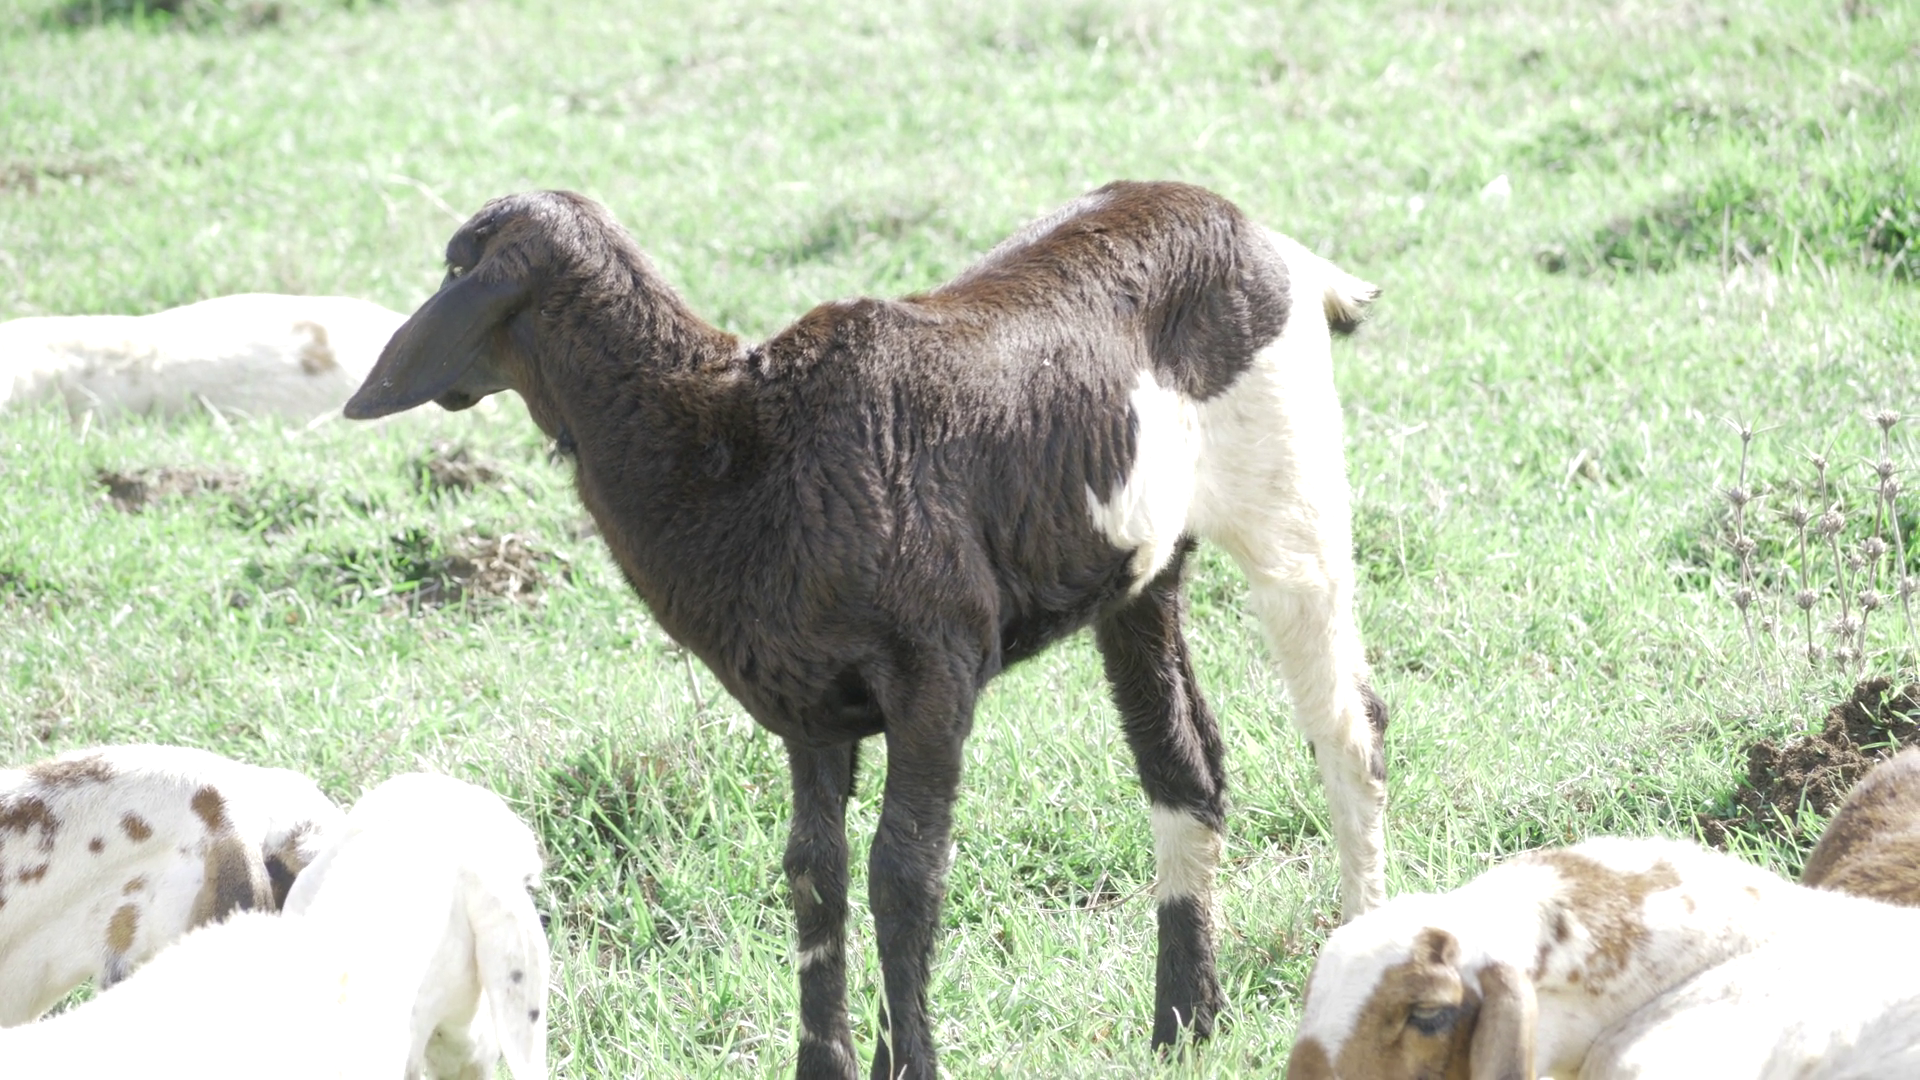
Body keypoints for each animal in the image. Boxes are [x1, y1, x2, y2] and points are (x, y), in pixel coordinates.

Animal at [343, 181, 1387, 1078]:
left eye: (454, 267)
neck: (736, 441)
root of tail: (1255, 231)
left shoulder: (935, 670)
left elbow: (904, 873)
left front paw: (910, 1064)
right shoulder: (806, 705)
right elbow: (816, 872)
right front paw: (826, 1066)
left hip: (1290, 497)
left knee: (1350, 733)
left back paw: (1360, 960)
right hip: (1140, 570)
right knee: (1184, 768)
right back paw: (1183, 1024)